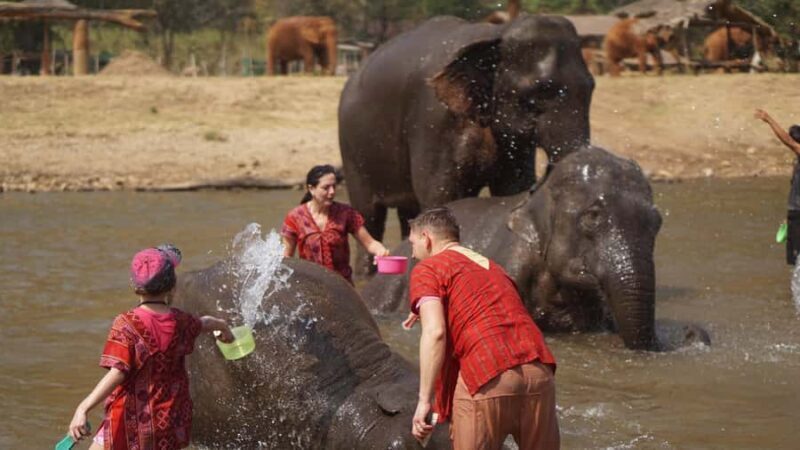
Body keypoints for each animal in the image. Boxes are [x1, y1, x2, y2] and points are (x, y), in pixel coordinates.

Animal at [339, 14, 594, 273]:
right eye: (539, 94)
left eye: (590, 88)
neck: (497, 33)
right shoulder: (433, 122)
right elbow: (442, 196)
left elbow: (512, 188)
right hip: (352, 150)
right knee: (369, 216)